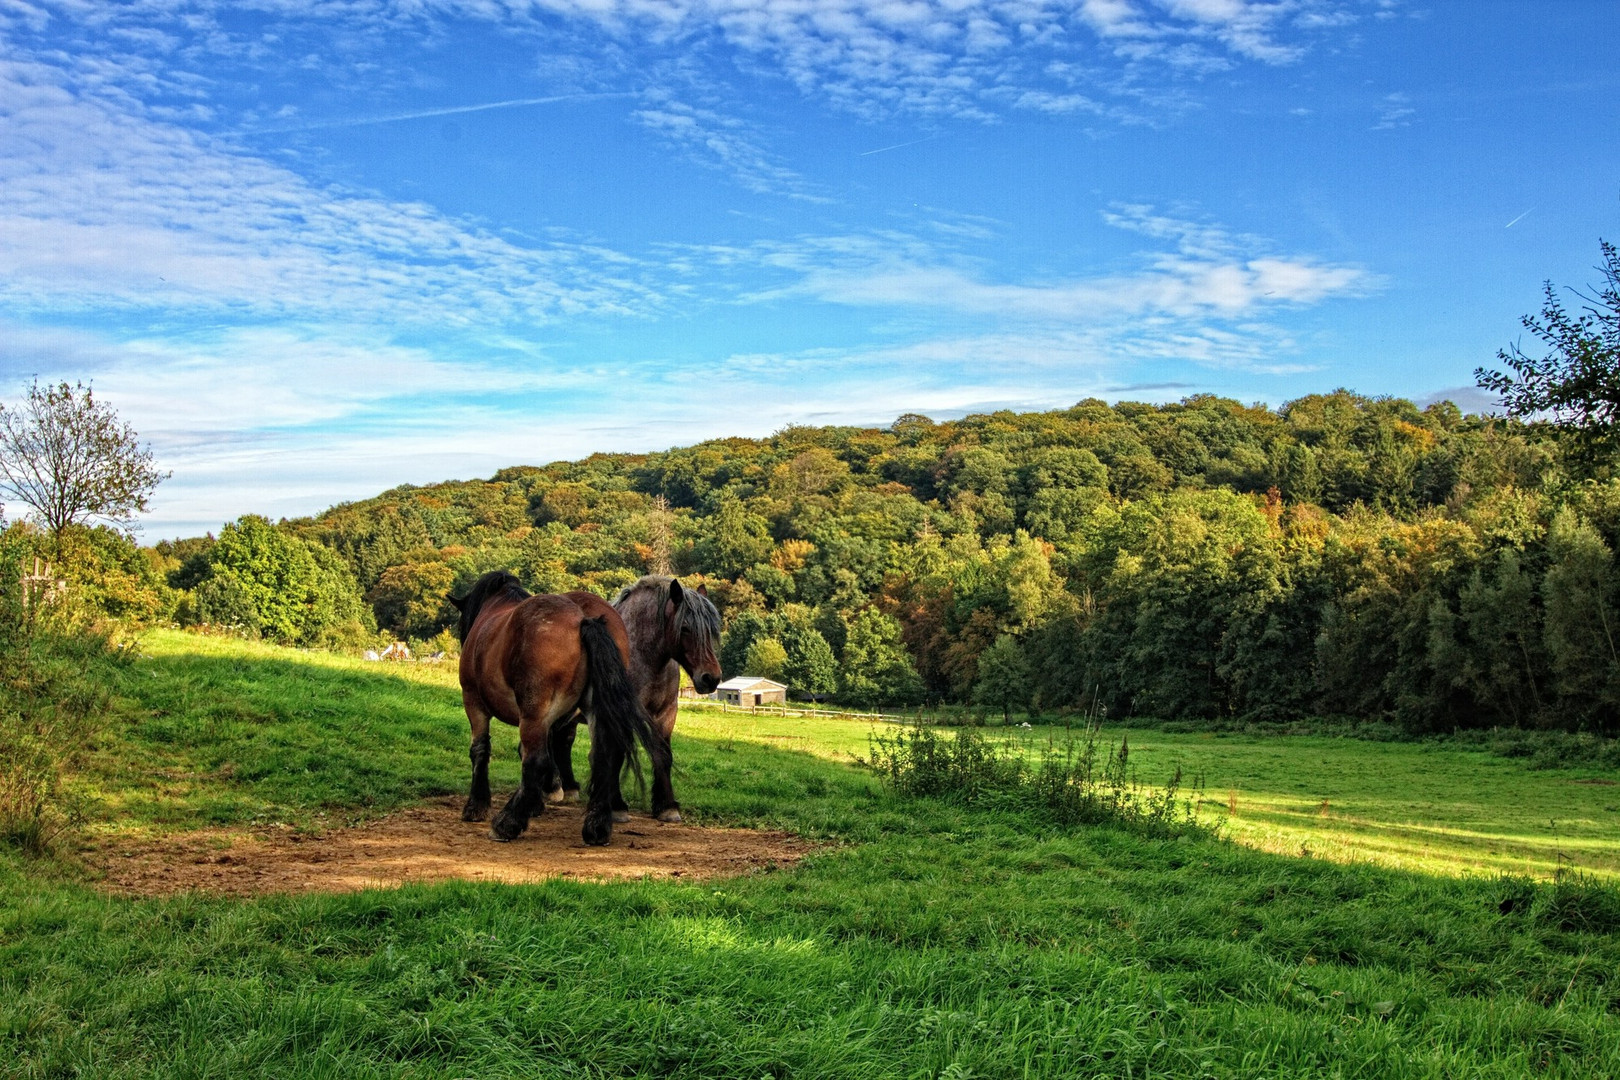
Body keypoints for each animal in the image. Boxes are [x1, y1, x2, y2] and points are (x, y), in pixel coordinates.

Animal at [443, 569, 664, 848]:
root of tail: (584, 620)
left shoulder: (474, 702)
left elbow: (481, 750)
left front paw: (477, 805)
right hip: (595, 711)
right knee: (604, 756)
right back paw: (597, 826)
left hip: (533, 715)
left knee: (536, 760)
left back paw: (507, 822)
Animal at [547, 579, 719, 822]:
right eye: (685, 628)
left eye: (712, 630)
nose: (710, 678)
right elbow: (617, 755)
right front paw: (617, 806)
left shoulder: (666, 714)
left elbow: (663, 755)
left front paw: (667, 806)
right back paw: (552, 788)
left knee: (562, 741)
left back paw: (569, 787)